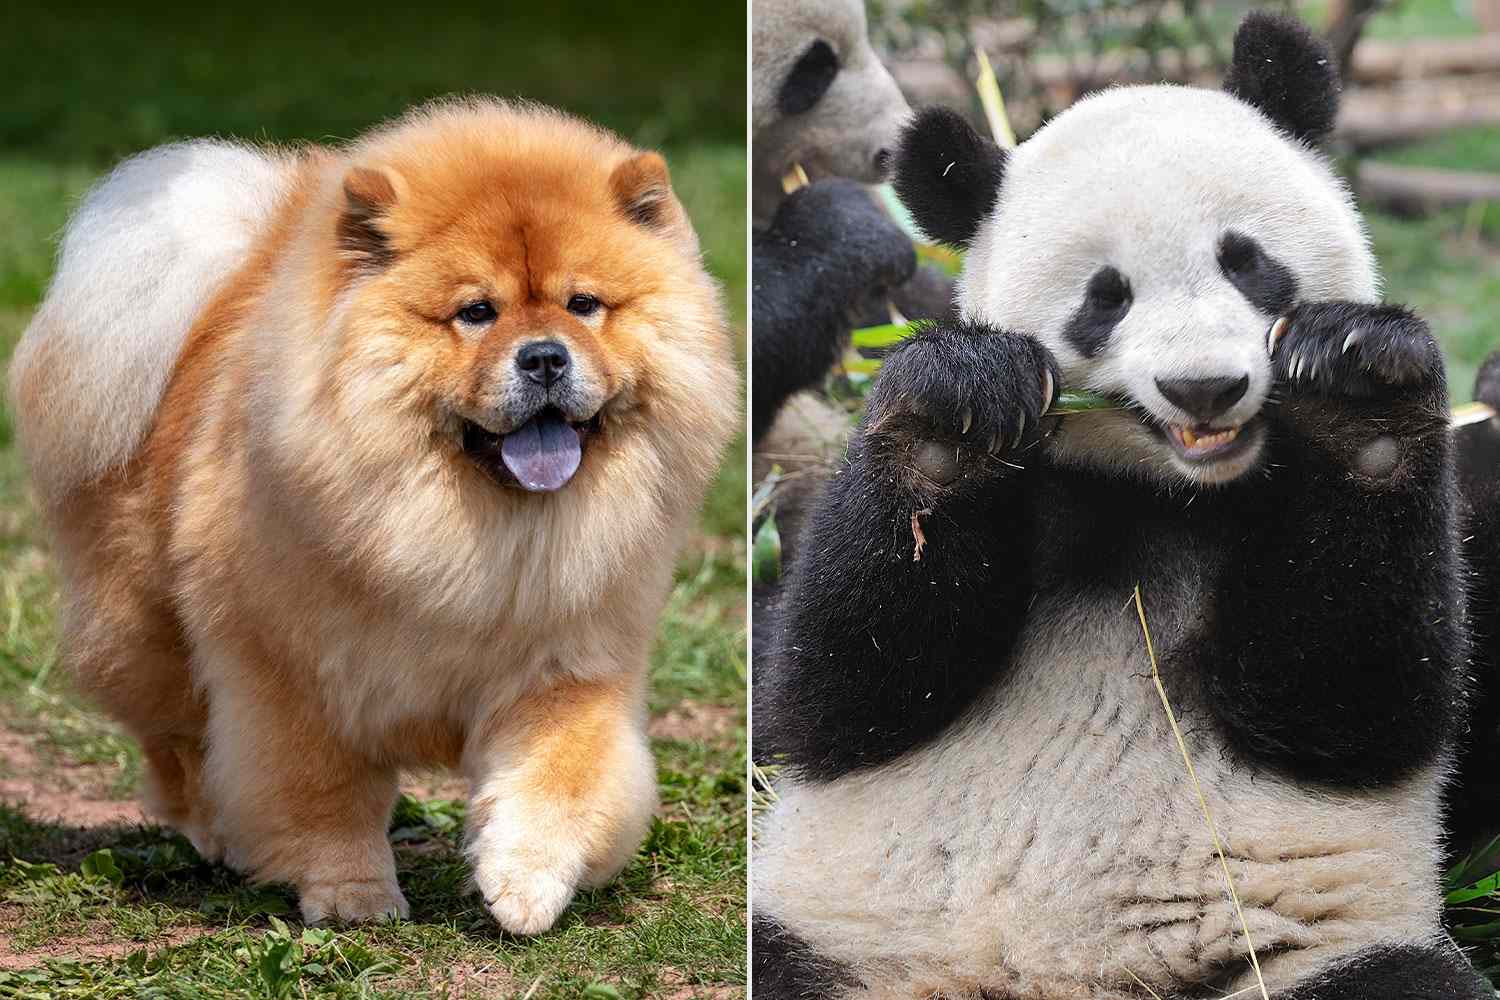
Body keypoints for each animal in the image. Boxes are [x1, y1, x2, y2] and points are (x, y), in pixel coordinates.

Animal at [752, 12, 1491, 999]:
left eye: (1247, 263)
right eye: (1106, 299)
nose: (1204, 389)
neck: (1162, 495)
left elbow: (1350, 701)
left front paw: (1356, 386)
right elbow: (835, 690)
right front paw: (957, 407)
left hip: (1298, 958)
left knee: (1398, 977)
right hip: (830, 944)